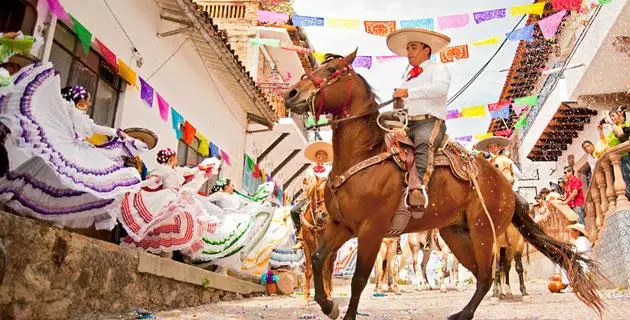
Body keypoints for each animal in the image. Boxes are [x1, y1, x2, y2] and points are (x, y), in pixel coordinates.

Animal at [284, 50, 604, 320]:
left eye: (332, 70)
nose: (291, 93)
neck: (364, 154)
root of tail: (506, 188)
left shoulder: (371, 229)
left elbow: (359, 278)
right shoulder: (342, 225)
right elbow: (318, 258)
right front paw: (329, 306)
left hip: (483, 232)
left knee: (487, 275)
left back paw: (465, 313)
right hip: (456, 234)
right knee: (480, 274)